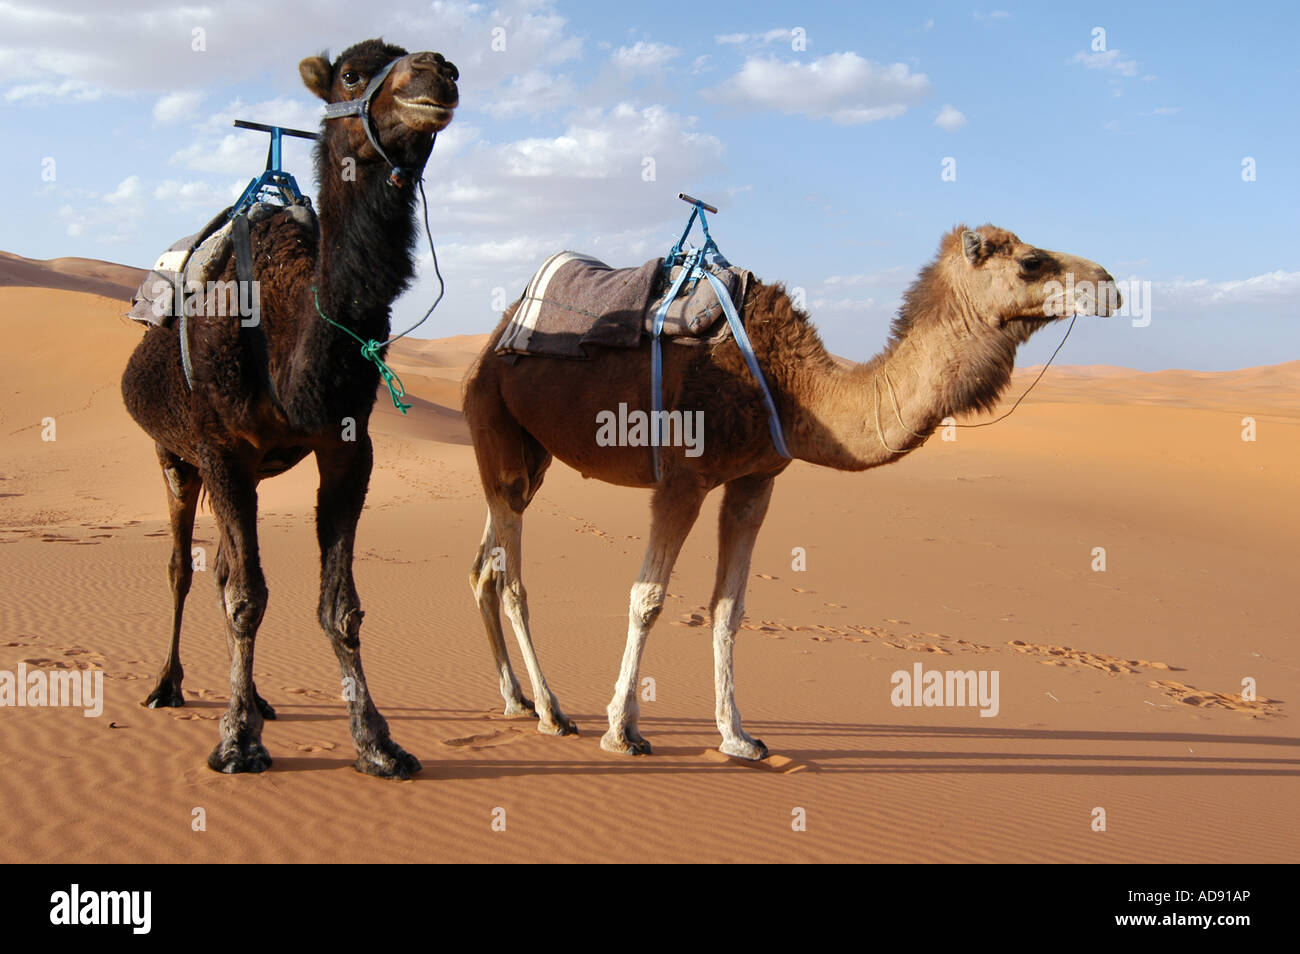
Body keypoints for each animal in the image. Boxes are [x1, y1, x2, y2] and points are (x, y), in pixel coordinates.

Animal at [121, 38, 458, 777]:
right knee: (183, 569)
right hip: (173, 455)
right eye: (353, 74)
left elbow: (340, 606)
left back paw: (257, 700)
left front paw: (377, 741)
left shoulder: (347, 446)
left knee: (220, 568)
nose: (438, 71)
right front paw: (236, 742)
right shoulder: (219, 447)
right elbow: (247, 597)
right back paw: (168, 685)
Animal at [463, 224, 1118, 759]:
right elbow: (647, 599)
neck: (790, 386)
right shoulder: (682, 480)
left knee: (484, 566)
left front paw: (737, 737)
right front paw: (623, 730)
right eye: (1031, 261)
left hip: (530, 453)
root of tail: (495, 335)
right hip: (494, 422)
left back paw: (516, 699)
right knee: (513, 579)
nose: (1110, 284)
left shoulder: (756, 481)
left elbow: (729, 607)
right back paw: (552, 711)